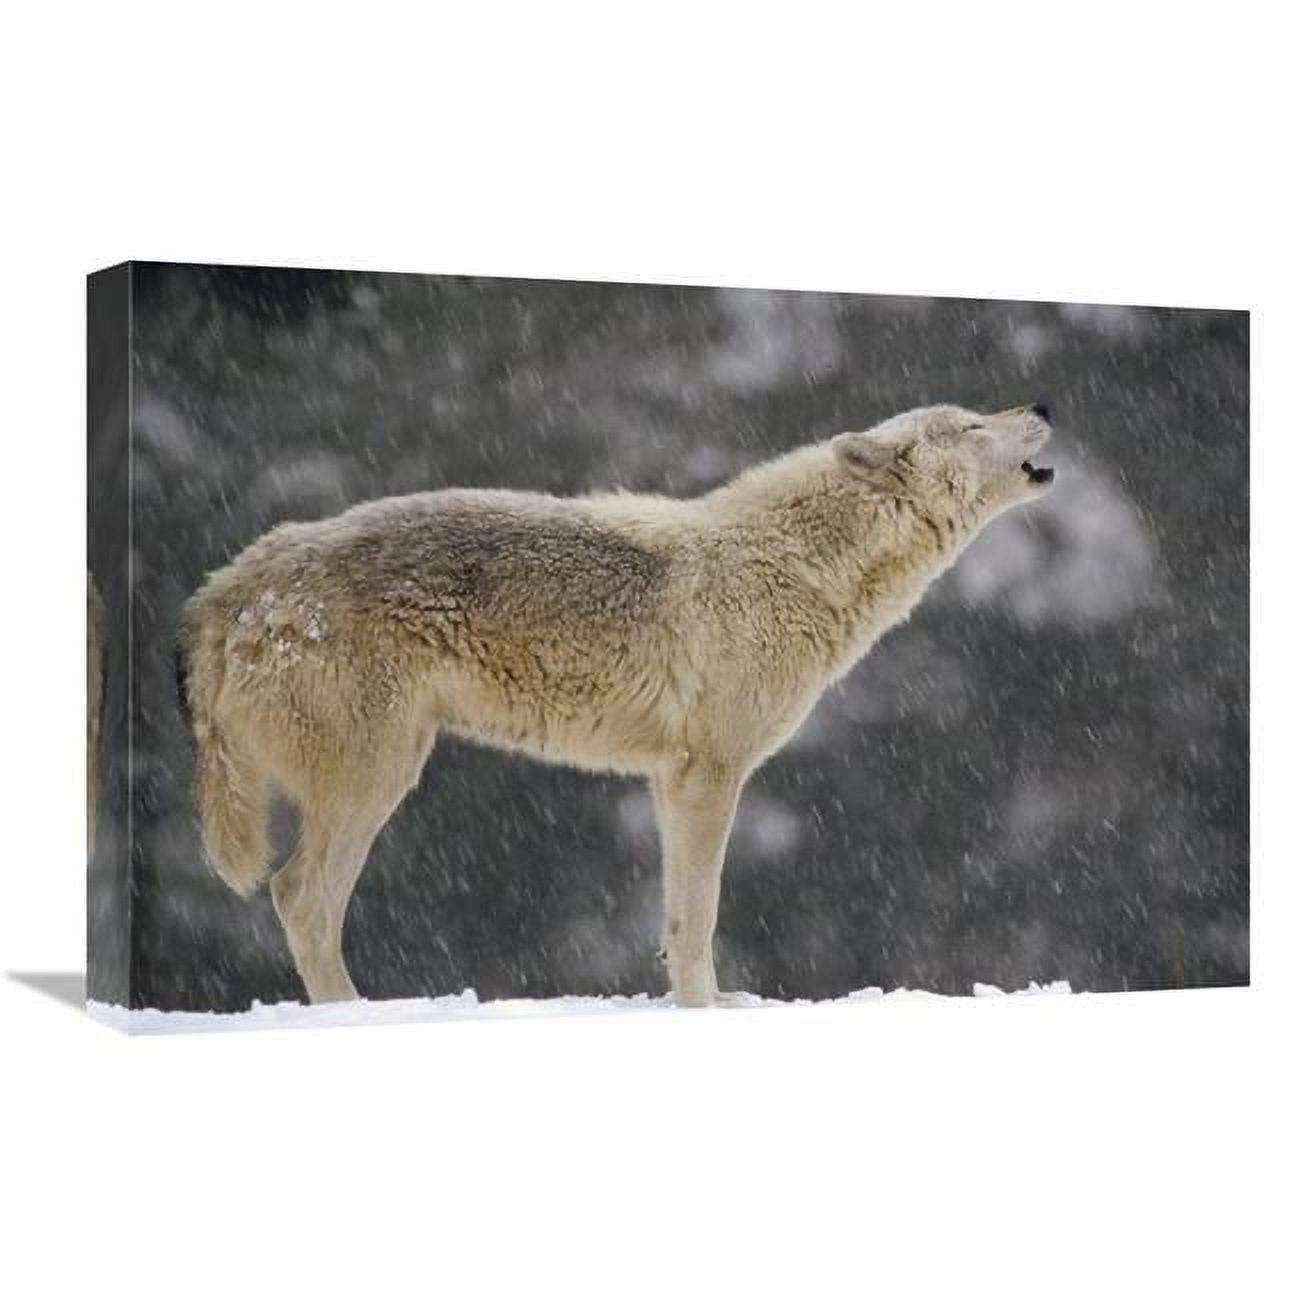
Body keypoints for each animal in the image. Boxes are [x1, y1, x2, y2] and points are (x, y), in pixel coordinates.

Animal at [178, 402, 1055, 1006]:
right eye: (973, 422)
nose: (1043, 405)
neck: (796, 564)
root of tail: (232, 585)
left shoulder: (670, 780)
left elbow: (674, 919)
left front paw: (705, 1002)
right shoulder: (711, 775)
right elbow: (701, 913)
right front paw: (707, 1009)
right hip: (379, 776)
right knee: (299, 897)